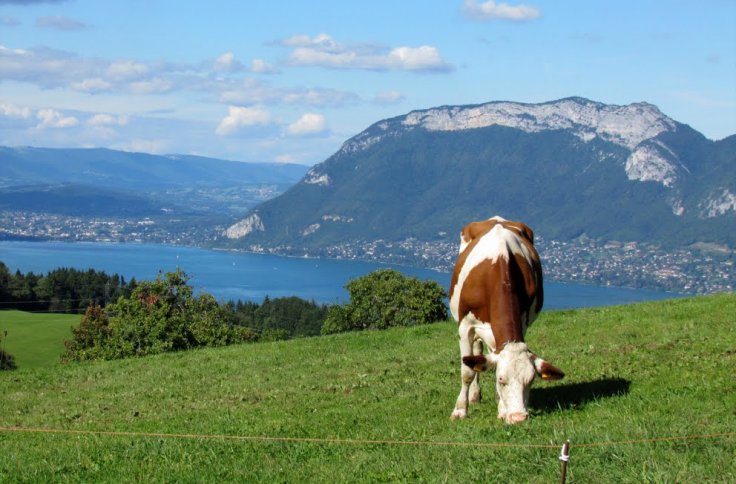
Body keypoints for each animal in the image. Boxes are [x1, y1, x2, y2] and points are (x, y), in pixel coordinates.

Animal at [448, 216, 564, 424]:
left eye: (531, 380)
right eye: (502, 379)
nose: (519, 417)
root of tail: (495, 219)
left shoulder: (521, 322)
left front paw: (502, 409)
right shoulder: (465, 326)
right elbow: (467, 371)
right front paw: (460, 410)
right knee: (476, 353)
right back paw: (474, 396)